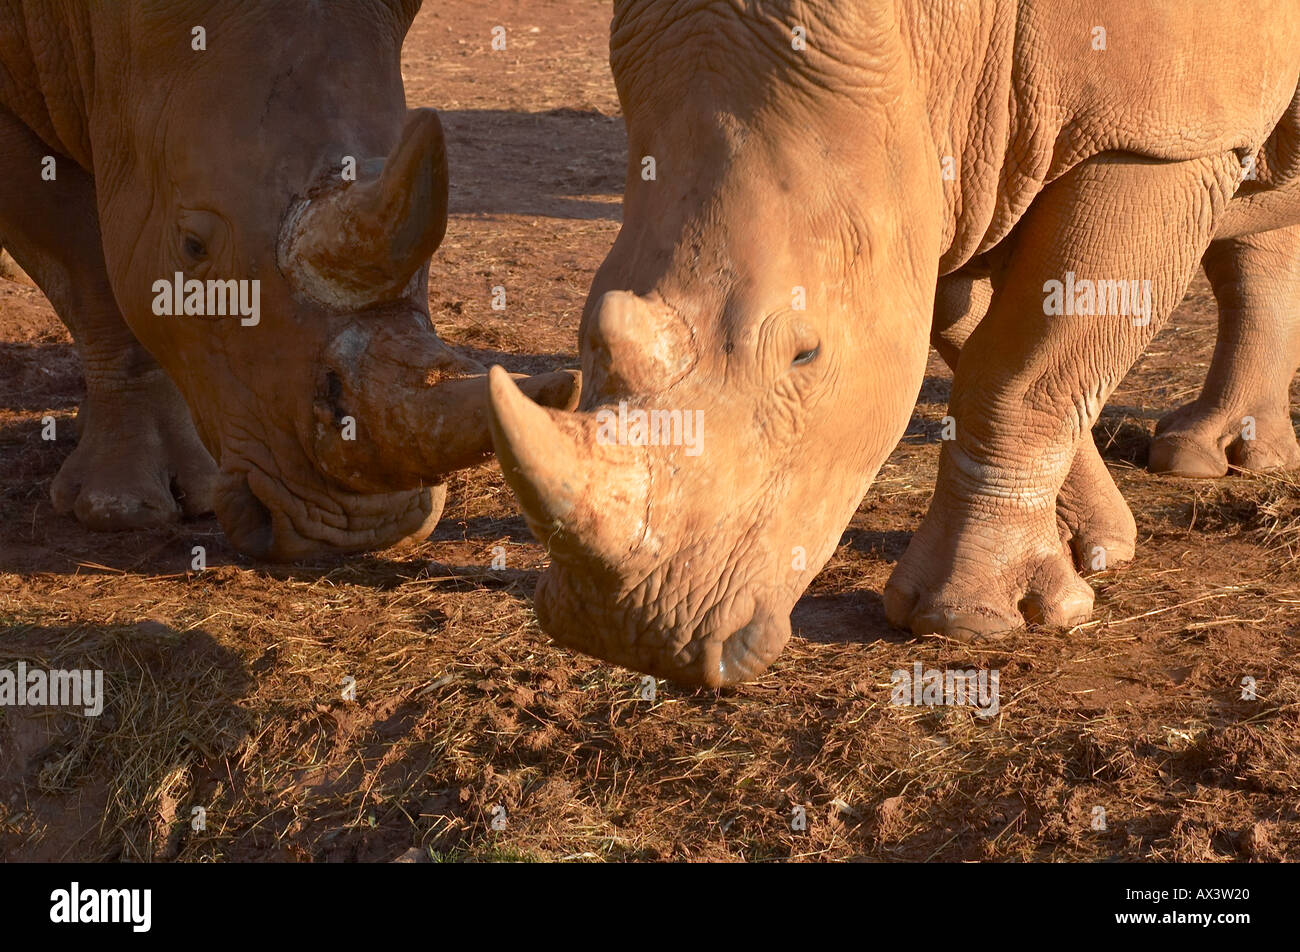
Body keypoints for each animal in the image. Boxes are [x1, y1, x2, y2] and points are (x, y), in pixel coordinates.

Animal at [487, 0, 1300, 686]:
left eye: (805, 356)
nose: (622, 633)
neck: (936, 32)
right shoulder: (944, 163)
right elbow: (984, 344)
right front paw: (1091, 546)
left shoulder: (1159, 137)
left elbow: (1024, 369)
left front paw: (965, 624)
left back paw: (1209, 463)